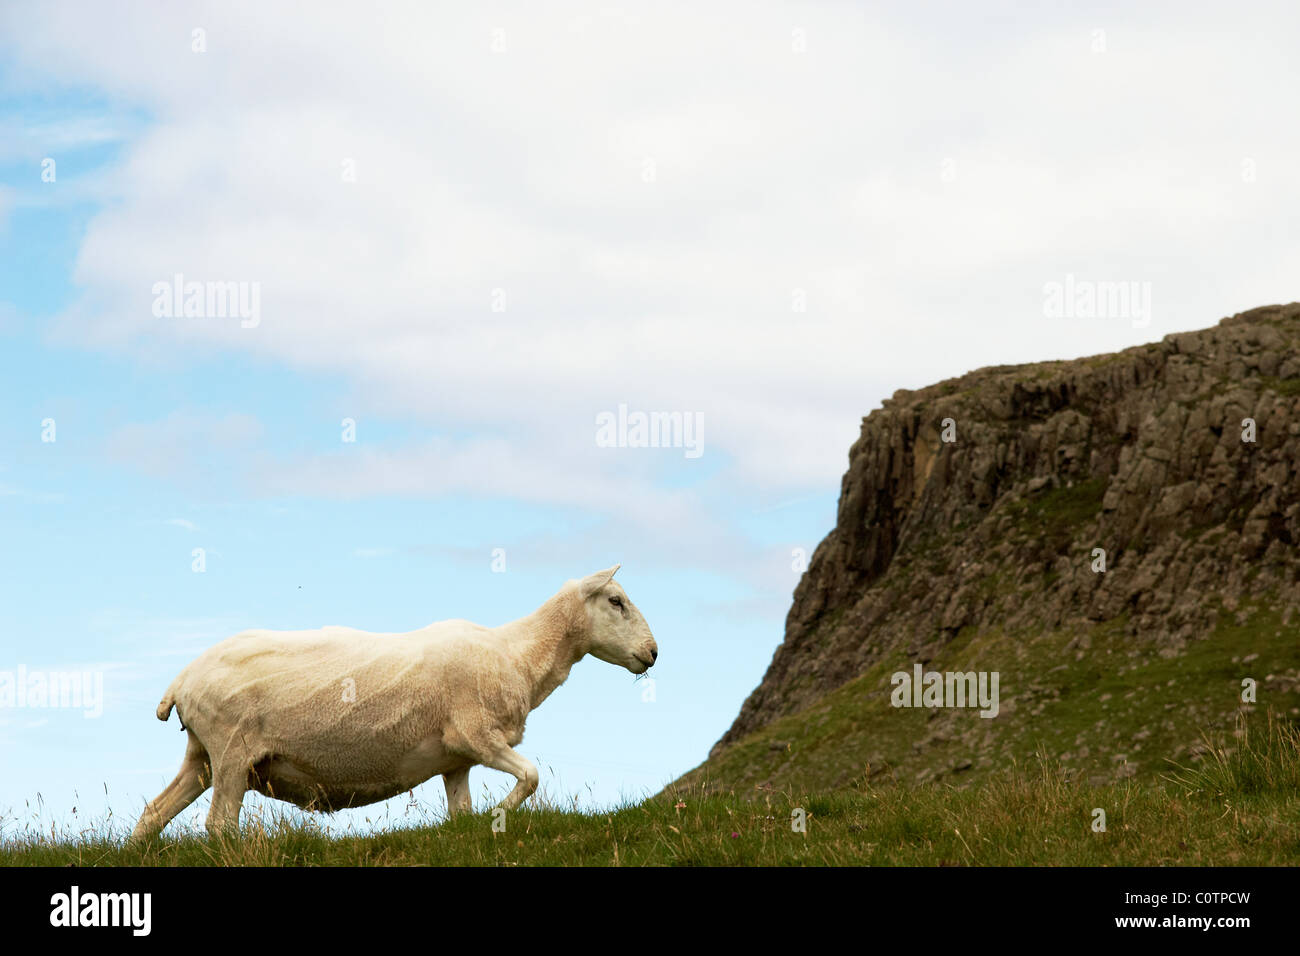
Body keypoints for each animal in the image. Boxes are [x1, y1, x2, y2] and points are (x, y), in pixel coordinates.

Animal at [128, 565, 657, 842]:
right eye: (616, 601)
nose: (653, 653)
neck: (518, 654)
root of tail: (182, 679)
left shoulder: (457, 760)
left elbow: (462, 814)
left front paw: (478, 827)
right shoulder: (477, 735)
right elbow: (531, 776)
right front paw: (500, 816)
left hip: (204, 754)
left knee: (155, 812)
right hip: (232, 751)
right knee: (219, 826)